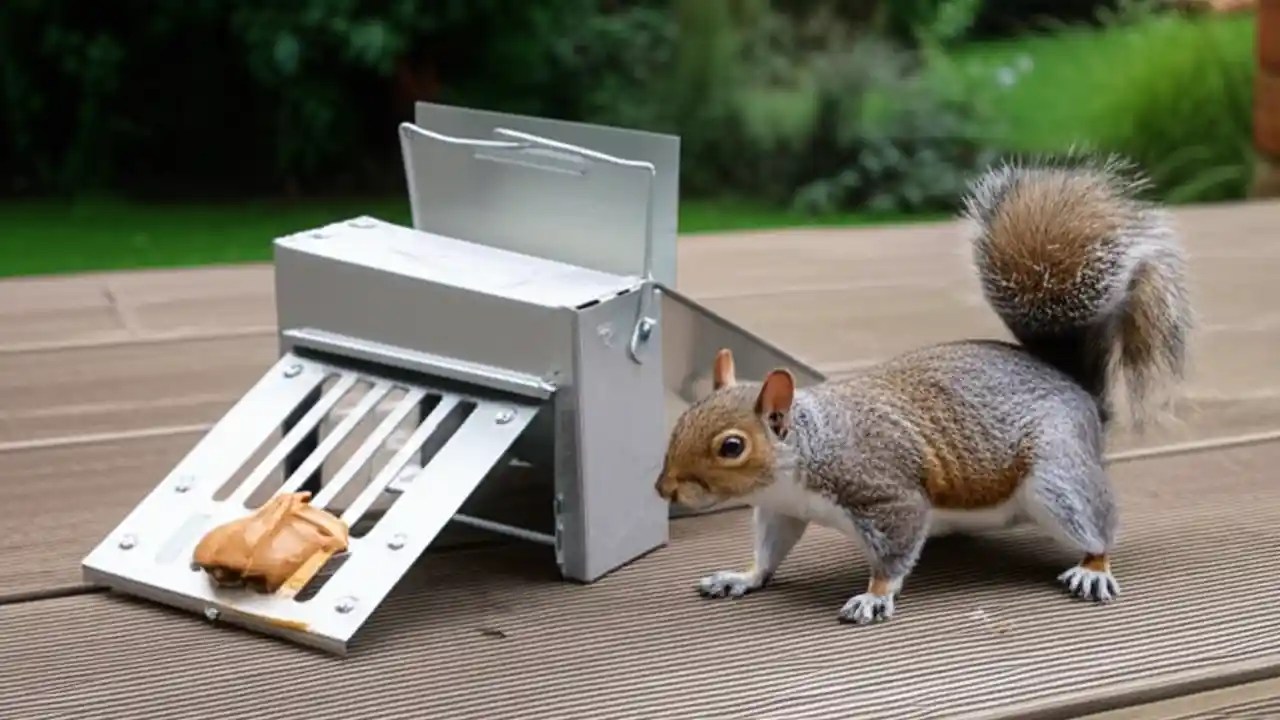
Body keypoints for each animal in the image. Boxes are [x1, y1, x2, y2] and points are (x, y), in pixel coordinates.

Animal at [654, 155, 1192, 625]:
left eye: (731, 447)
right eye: (680, 421)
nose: (663, 489)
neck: (808, 450)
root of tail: (1077, 390)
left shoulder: (885, 495)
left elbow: (892, 556)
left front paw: (874, 597)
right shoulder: (780, 509)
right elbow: (768, 553)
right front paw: (741, 577)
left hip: (1058, 475)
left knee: (1096, 524)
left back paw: (1093, 567)